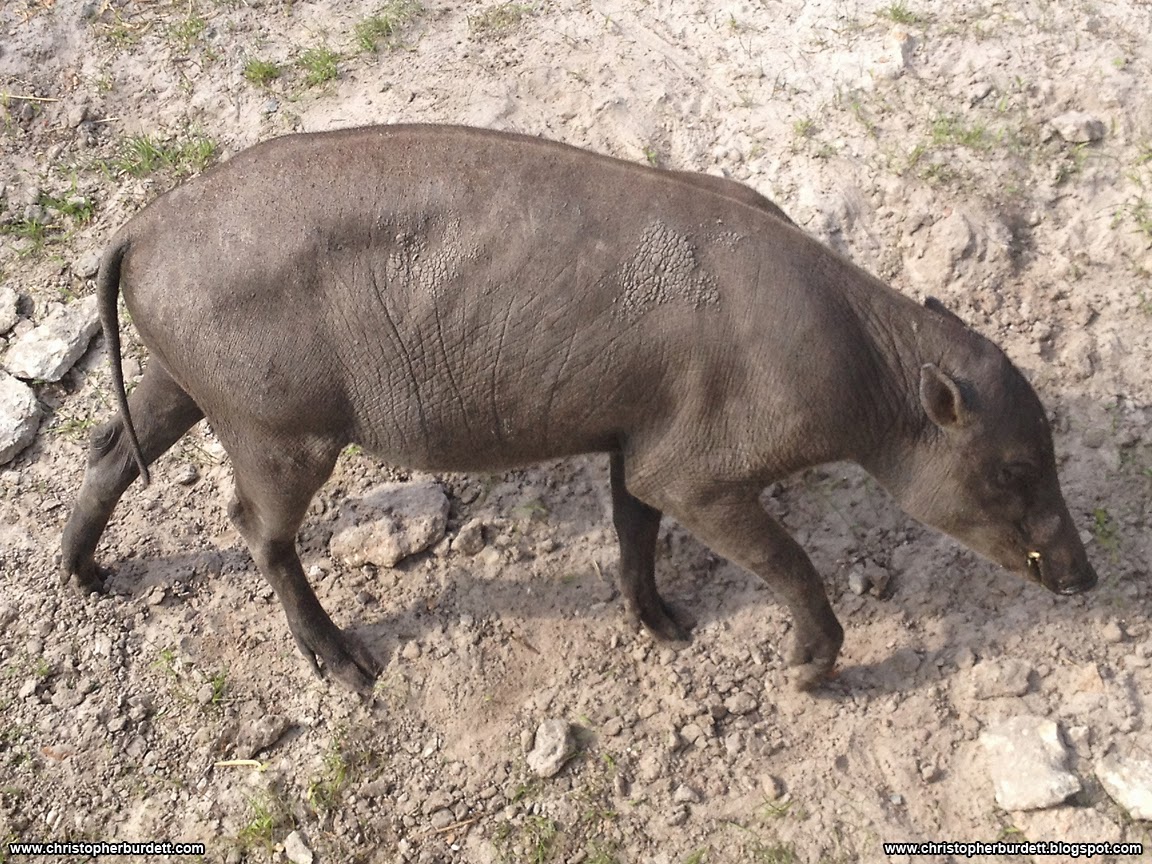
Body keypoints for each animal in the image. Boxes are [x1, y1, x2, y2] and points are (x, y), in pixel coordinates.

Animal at [62, 124, 1097, 691]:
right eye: (1014, 466)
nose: (1086, 580)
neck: (865, 366)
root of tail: (138, 227)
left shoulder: (638, 443)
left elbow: (634, 531)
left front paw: (667, 628)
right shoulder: (699, 474)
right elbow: (792, 565)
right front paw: (804, 676)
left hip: (187, 386)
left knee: (108, 448)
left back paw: (89, 578)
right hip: (282, 432)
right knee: (255, 529)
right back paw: (350, 669)